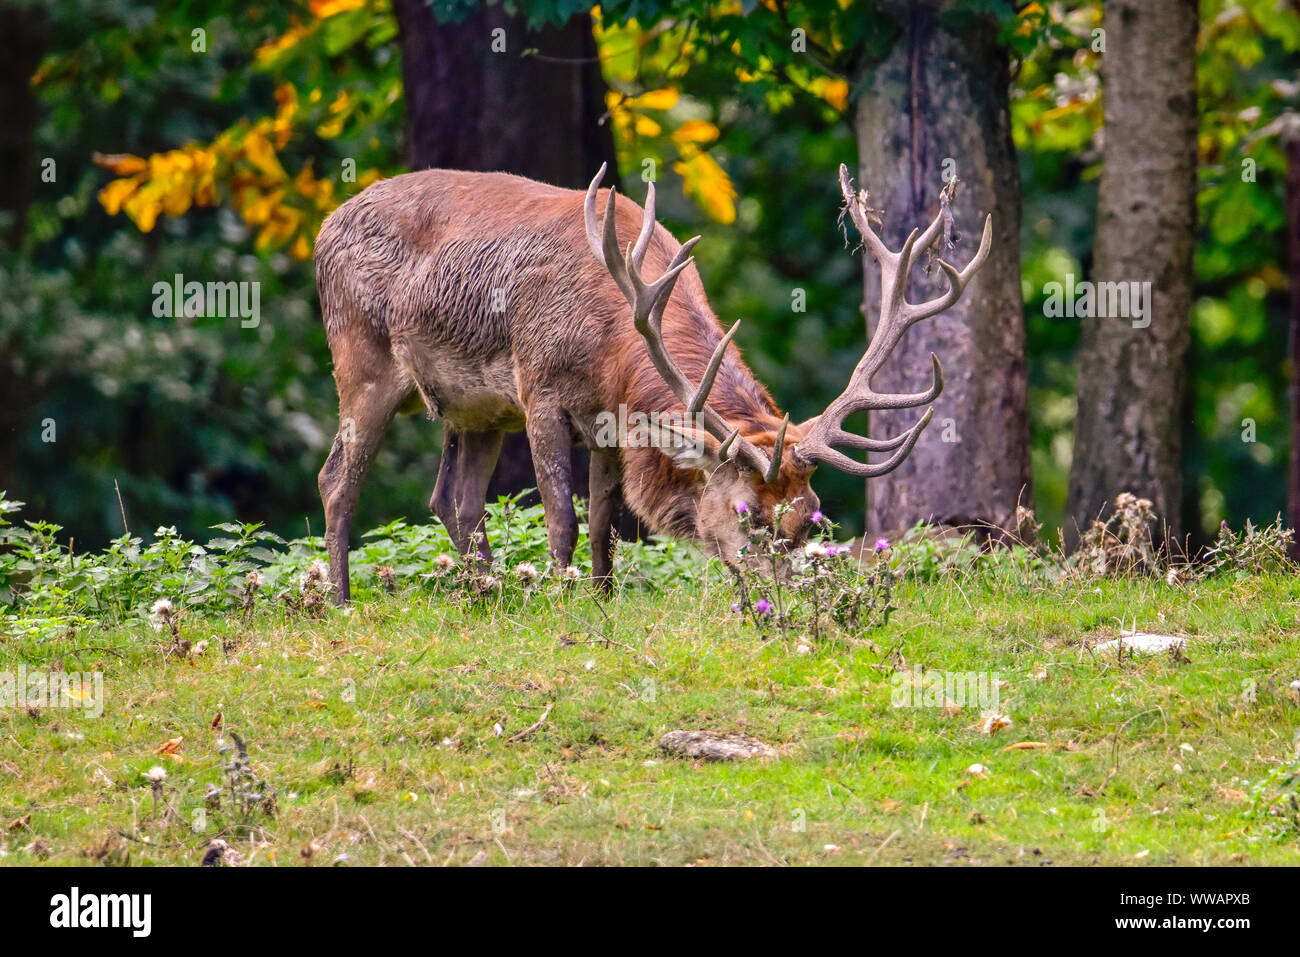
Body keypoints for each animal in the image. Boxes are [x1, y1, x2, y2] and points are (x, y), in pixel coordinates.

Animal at [314, 162, 991, 603]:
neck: (614, 345)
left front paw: (601, 599)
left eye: (810, 520)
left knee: (452, 498)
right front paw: (565, 601)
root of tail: (325, 227)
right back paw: (341, 600)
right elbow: (563, 518)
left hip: (473, 409)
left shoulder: (612, 423)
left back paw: (487, 593)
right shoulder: (540, 390)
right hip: (361, 356)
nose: (787, 604)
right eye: (750, 516)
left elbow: (606, 524)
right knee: (337, 478)